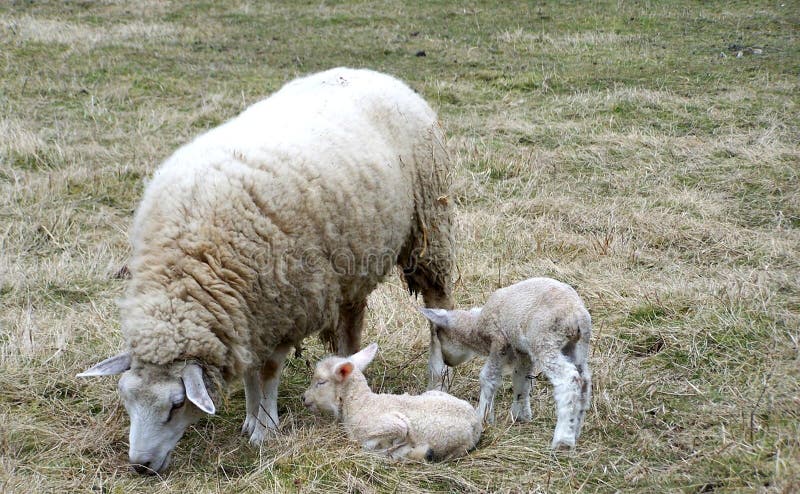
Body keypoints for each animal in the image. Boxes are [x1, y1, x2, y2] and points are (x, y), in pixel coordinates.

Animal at [76, 67, 455, 474]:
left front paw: (265, 428)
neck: (191, 263)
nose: (141, 466)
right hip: (353, 258)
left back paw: (439, 375)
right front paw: (249, 417)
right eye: (126, 396)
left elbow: (269, 371)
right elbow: (248, 371)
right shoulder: (244, 313)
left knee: (436, 303)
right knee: (352, 317)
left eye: (177, 404)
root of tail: (373, 73)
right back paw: (349, 365)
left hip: (429, 225)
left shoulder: (283, 308)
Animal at [302, 342, 482, 461]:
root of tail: (476, 423)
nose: (303, 398)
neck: (360, 402)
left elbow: (377, 442)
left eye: (321, 382)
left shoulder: (395, 425)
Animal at [418, 277, 592, 450]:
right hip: (576, 348)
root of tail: (577, 315)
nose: (447, 361)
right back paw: (575, 430)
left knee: (568, 379)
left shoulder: (499, 340)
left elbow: (488, 377)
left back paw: (563, 440)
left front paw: (483, 416)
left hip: (544, 341)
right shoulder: (522, 351)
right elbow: (521, 379)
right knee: (584, 382)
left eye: (439, 336)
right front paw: (520, 415)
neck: (477, 327)